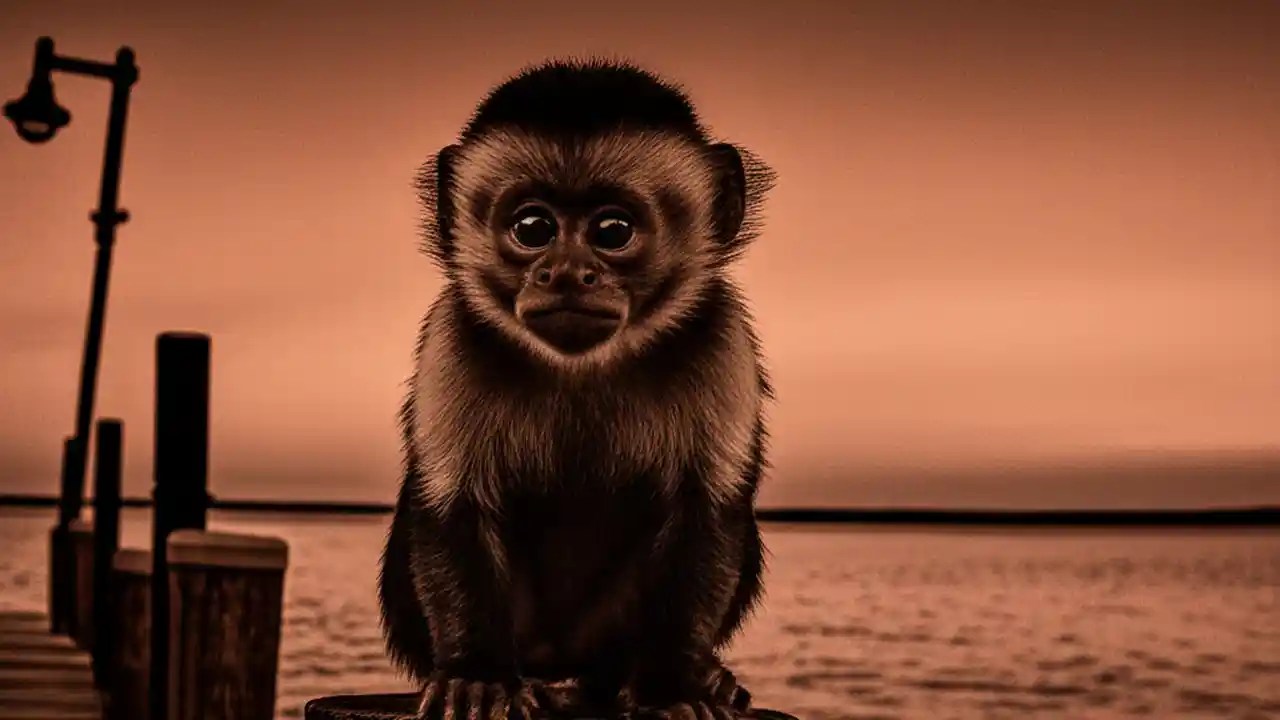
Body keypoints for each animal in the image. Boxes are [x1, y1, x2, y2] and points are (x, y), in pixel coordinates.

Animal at [377, 58, 776, 720]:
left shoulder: (722, 337)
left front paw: (671, 686)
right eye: (533, 227)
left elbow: (706, 513)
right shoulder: (452, 333)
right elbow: (454, 506)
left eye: (612, 230)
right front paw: (477, 675)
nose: (565, 272)